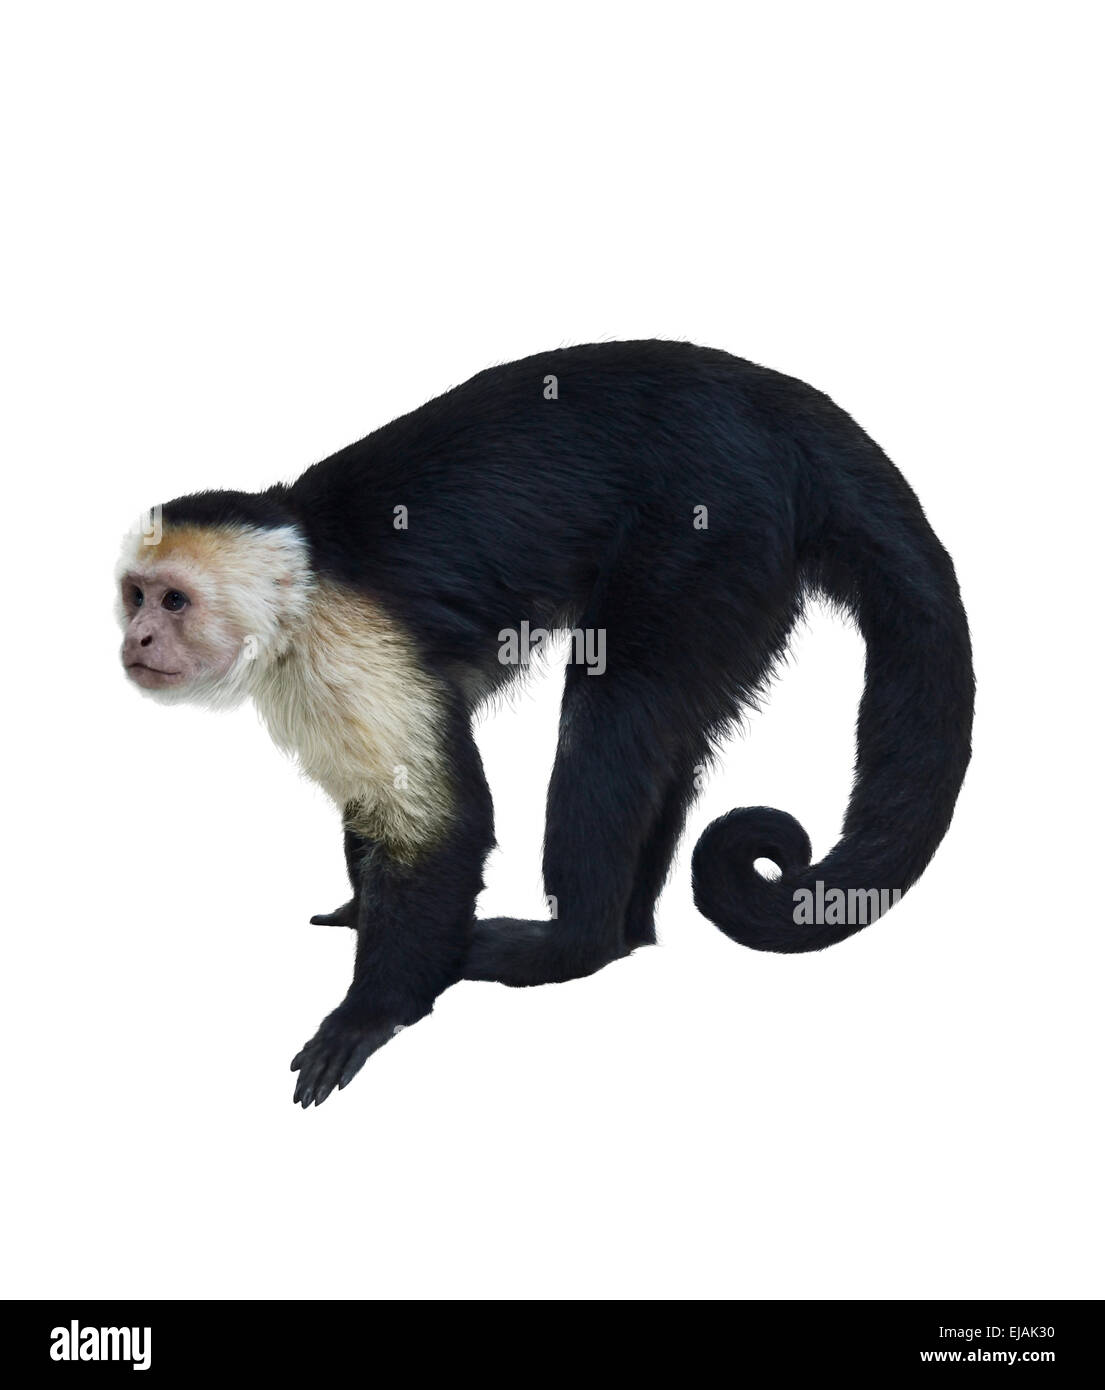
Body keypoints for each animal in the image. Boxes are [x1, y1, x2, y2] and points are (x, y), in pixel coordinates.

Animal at [117, 340, 974, 1107]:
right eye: (135, 597)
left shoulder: (343, 648)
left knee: (613, 711)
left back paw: (571, 946)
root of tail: (778, 405)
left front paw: (373, 1011)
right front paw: (363, 912)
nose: (137, 640)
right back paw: (628, 931)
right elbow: (376, 811)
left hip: (714, 527)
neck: (304, 583)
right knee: (663, 735)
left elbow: (443, 826)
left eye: (175, 601)